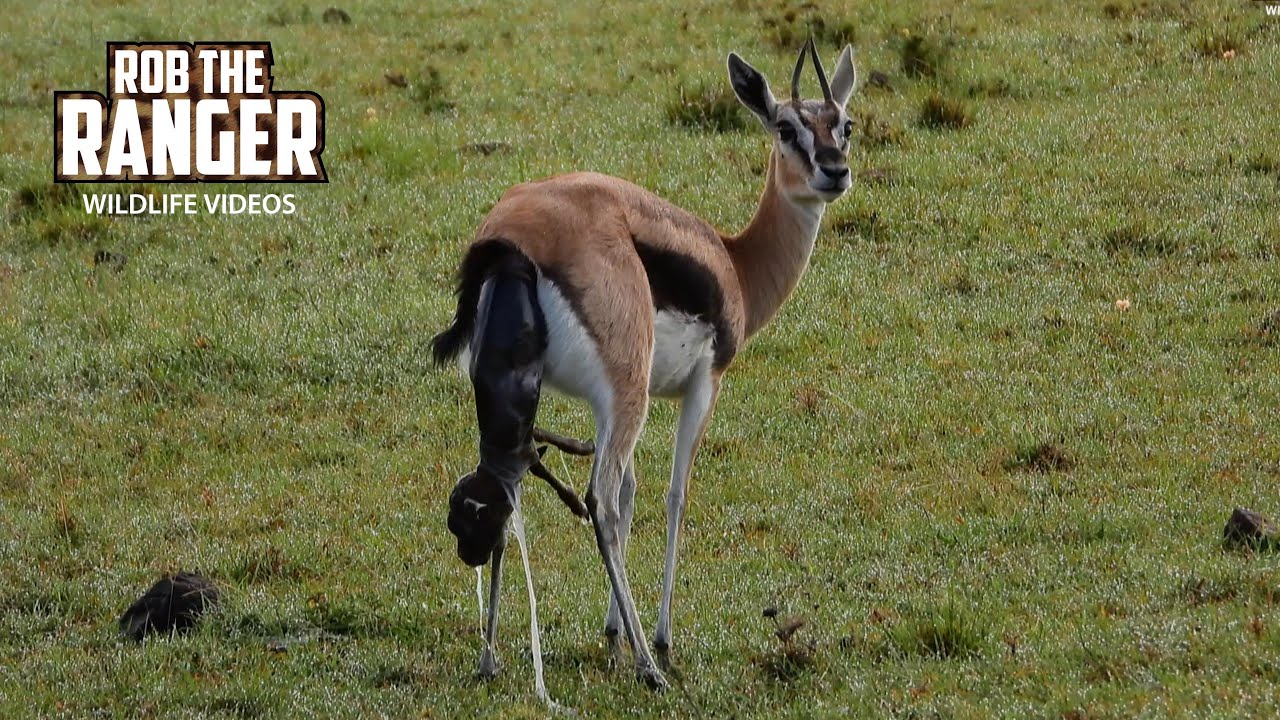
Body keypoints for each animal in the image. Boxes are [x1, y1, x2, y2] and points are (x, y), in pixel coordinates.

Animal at [433, 39, 859, 691]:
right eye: (786, 127)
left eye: (846, 125)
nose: (833, 171)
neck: (735, 266)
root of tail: (510, 237)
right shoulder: (701, 386)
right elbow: (674, 495)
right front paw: (656, 637)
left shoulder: (602, 405)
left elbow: (634, 493)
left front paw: (613, 631)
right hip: (623, 391)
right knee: (600, 501)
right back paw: (650, 669)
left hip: (521, 394)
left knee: (510, 485)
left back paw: (490, 658)